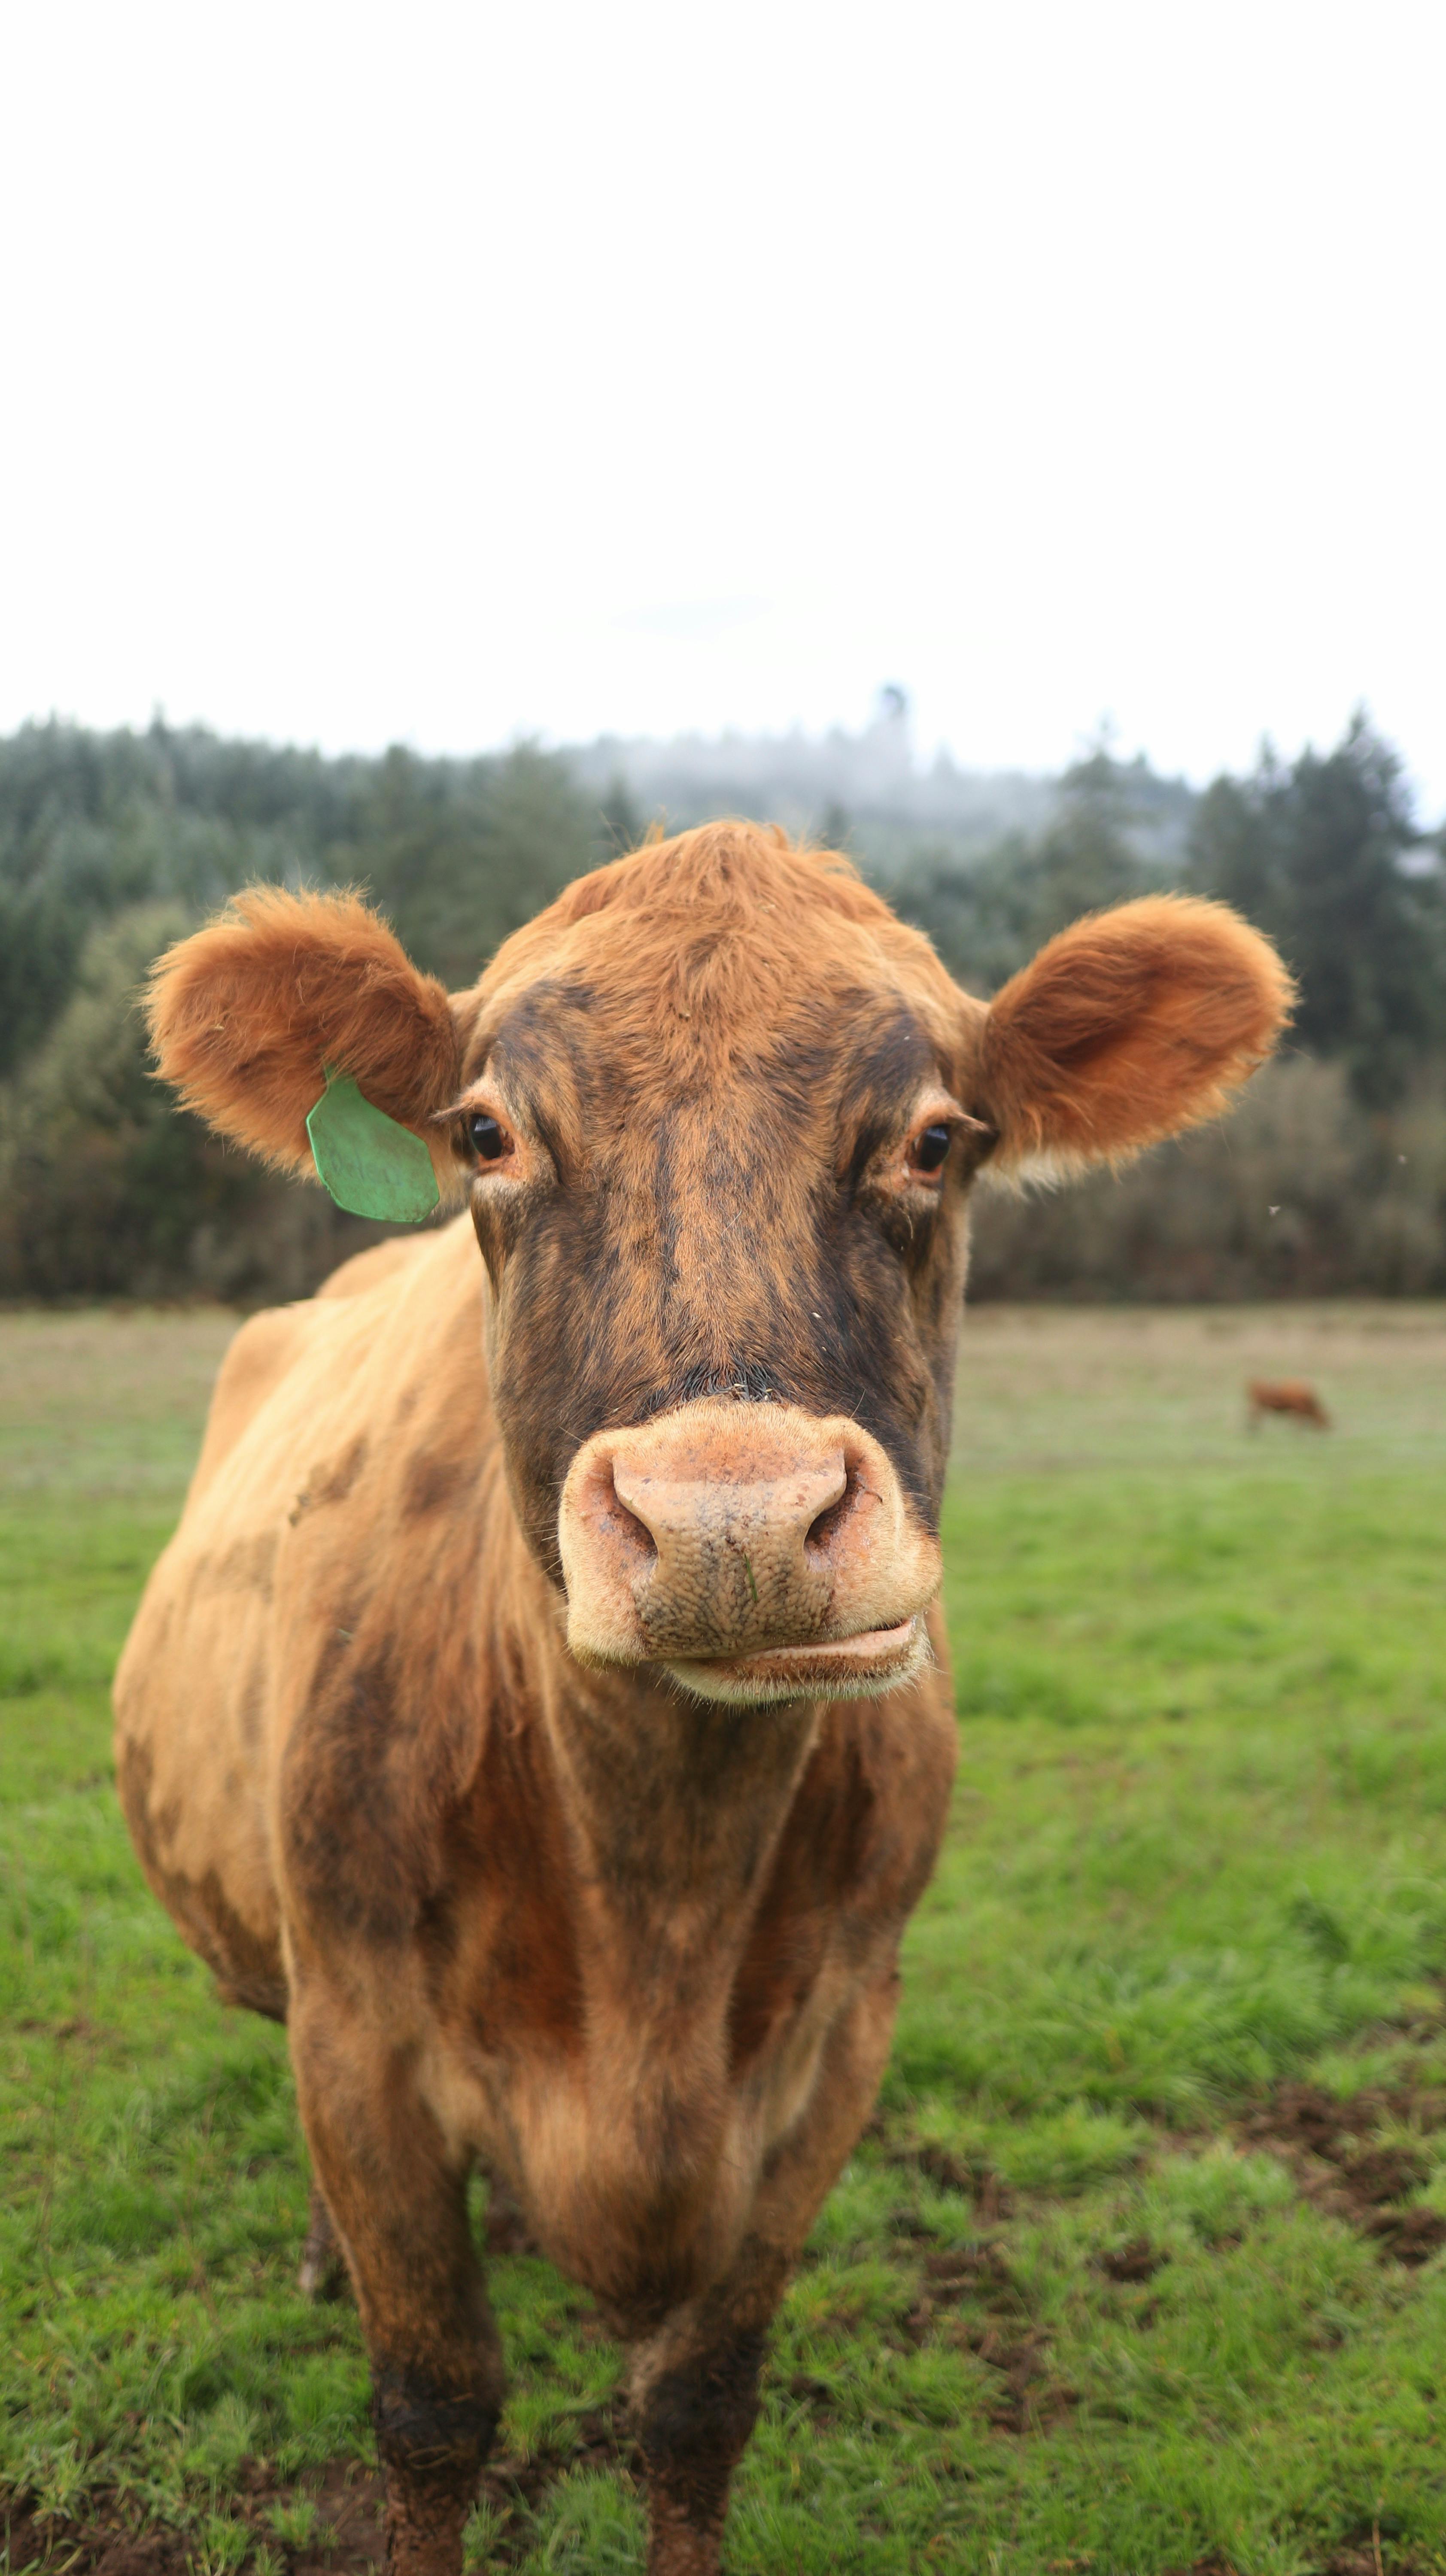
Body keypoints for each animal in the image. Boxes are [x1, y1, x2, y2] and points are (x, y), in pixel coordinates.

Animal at [113, 825, 1291, 2575]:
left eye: (935, 1136)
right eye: (486, 1132)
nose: (727, 1522)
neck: (652, 1894)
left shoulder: (836, 2036)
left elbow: (697, 2402)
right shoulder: (361, 2032)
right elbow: (434, 2404)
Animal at [1246, 1378, 1331, 1430]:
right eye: (1324, 1419)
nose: (1328, 1428)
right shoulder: (1298, 1409)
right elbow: (1299, 1422)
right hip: (1257, 1405)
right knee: (1254, 1416)